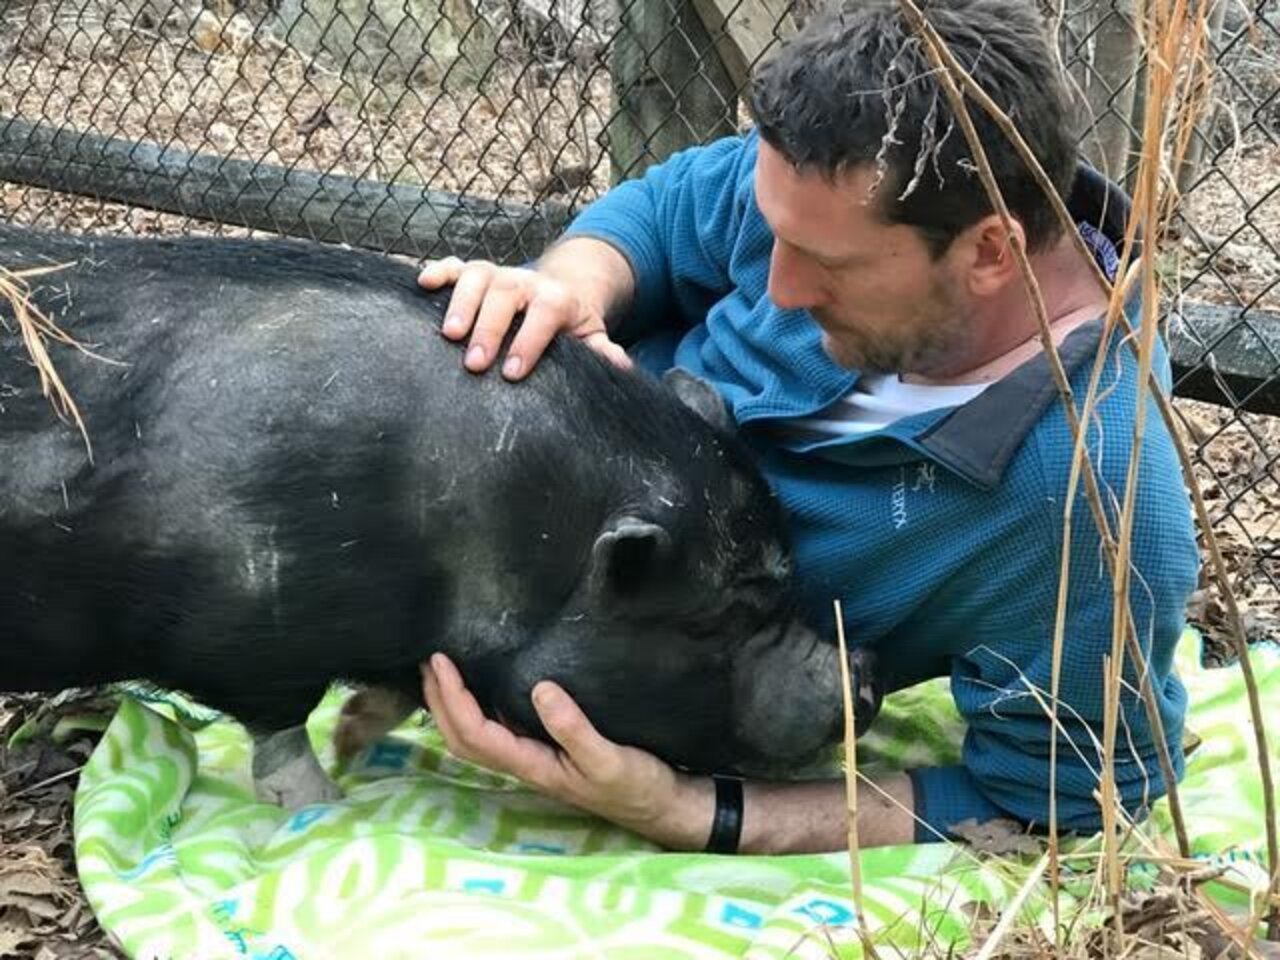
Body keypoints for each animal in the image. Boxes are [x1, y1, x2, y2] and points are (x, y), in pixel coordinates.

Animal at [0, 222, 880, 809]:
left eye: (787, 579)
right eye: (714, 617)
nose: (862, 671)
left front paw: (357, 736)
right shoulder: (243, 629)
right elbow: (278, 731)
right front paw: (326, 805)